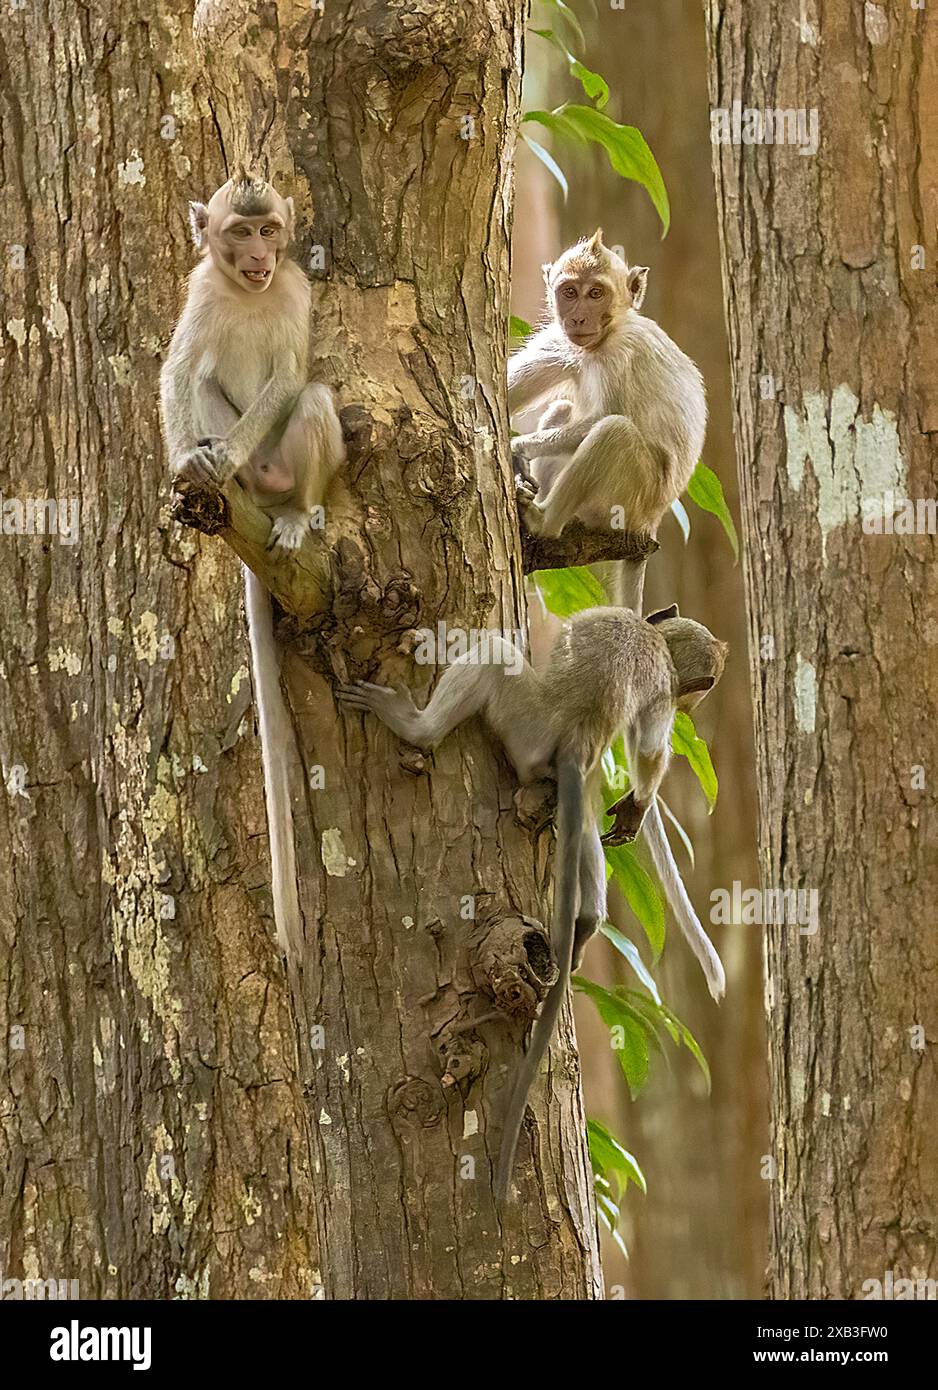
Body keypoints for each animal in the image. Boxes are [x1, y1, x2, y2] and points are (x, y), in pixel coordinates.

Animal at [335, 602, 727, 1201]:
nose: (691, 708)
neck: (653, 636)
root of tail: (574, 736)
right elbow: (647, 754)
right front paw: (635, 810)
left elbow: (649, 749)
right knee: (583, 830)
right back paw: (586, 923)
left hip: (524, 725)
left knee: (497, 657)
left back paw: (416, 726)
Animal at [507, 230, 706, 550]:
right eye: (570, 292)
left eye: (596, 294)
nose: (578, 318)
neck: (608, 335)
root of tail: (650, 525)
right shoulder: (558, 340)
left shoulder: (623, 351)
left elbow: (607, 414)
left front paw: (518, 446)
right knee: (563, 408)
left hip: (631, 499)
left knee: (614, 432)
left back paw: (543, 522)